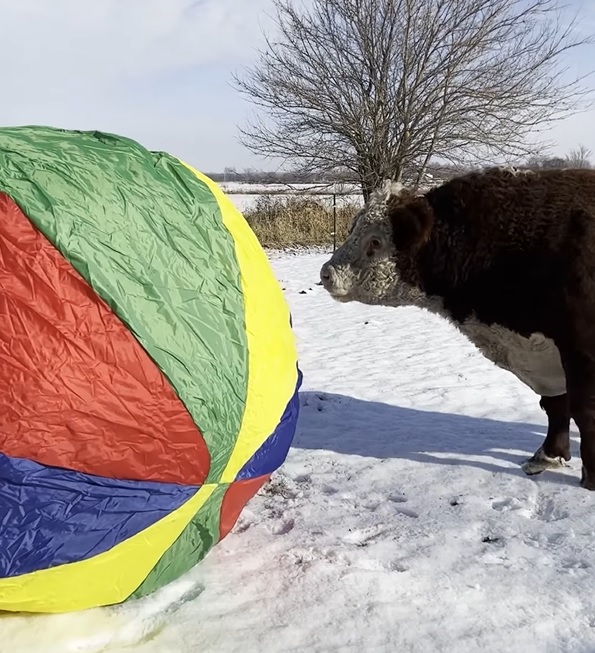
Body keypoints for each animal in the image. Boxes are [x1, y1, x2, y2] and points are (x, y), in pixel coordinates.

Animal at [319, 166, 595, 490]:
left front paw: (591, 478)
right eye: (353, 229)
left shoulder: (580, 349)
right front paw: (548, 455)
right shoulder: (541, 352)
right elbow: (555, 405)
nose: (326, 274)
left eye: (374, 242)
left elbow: (583, 410)